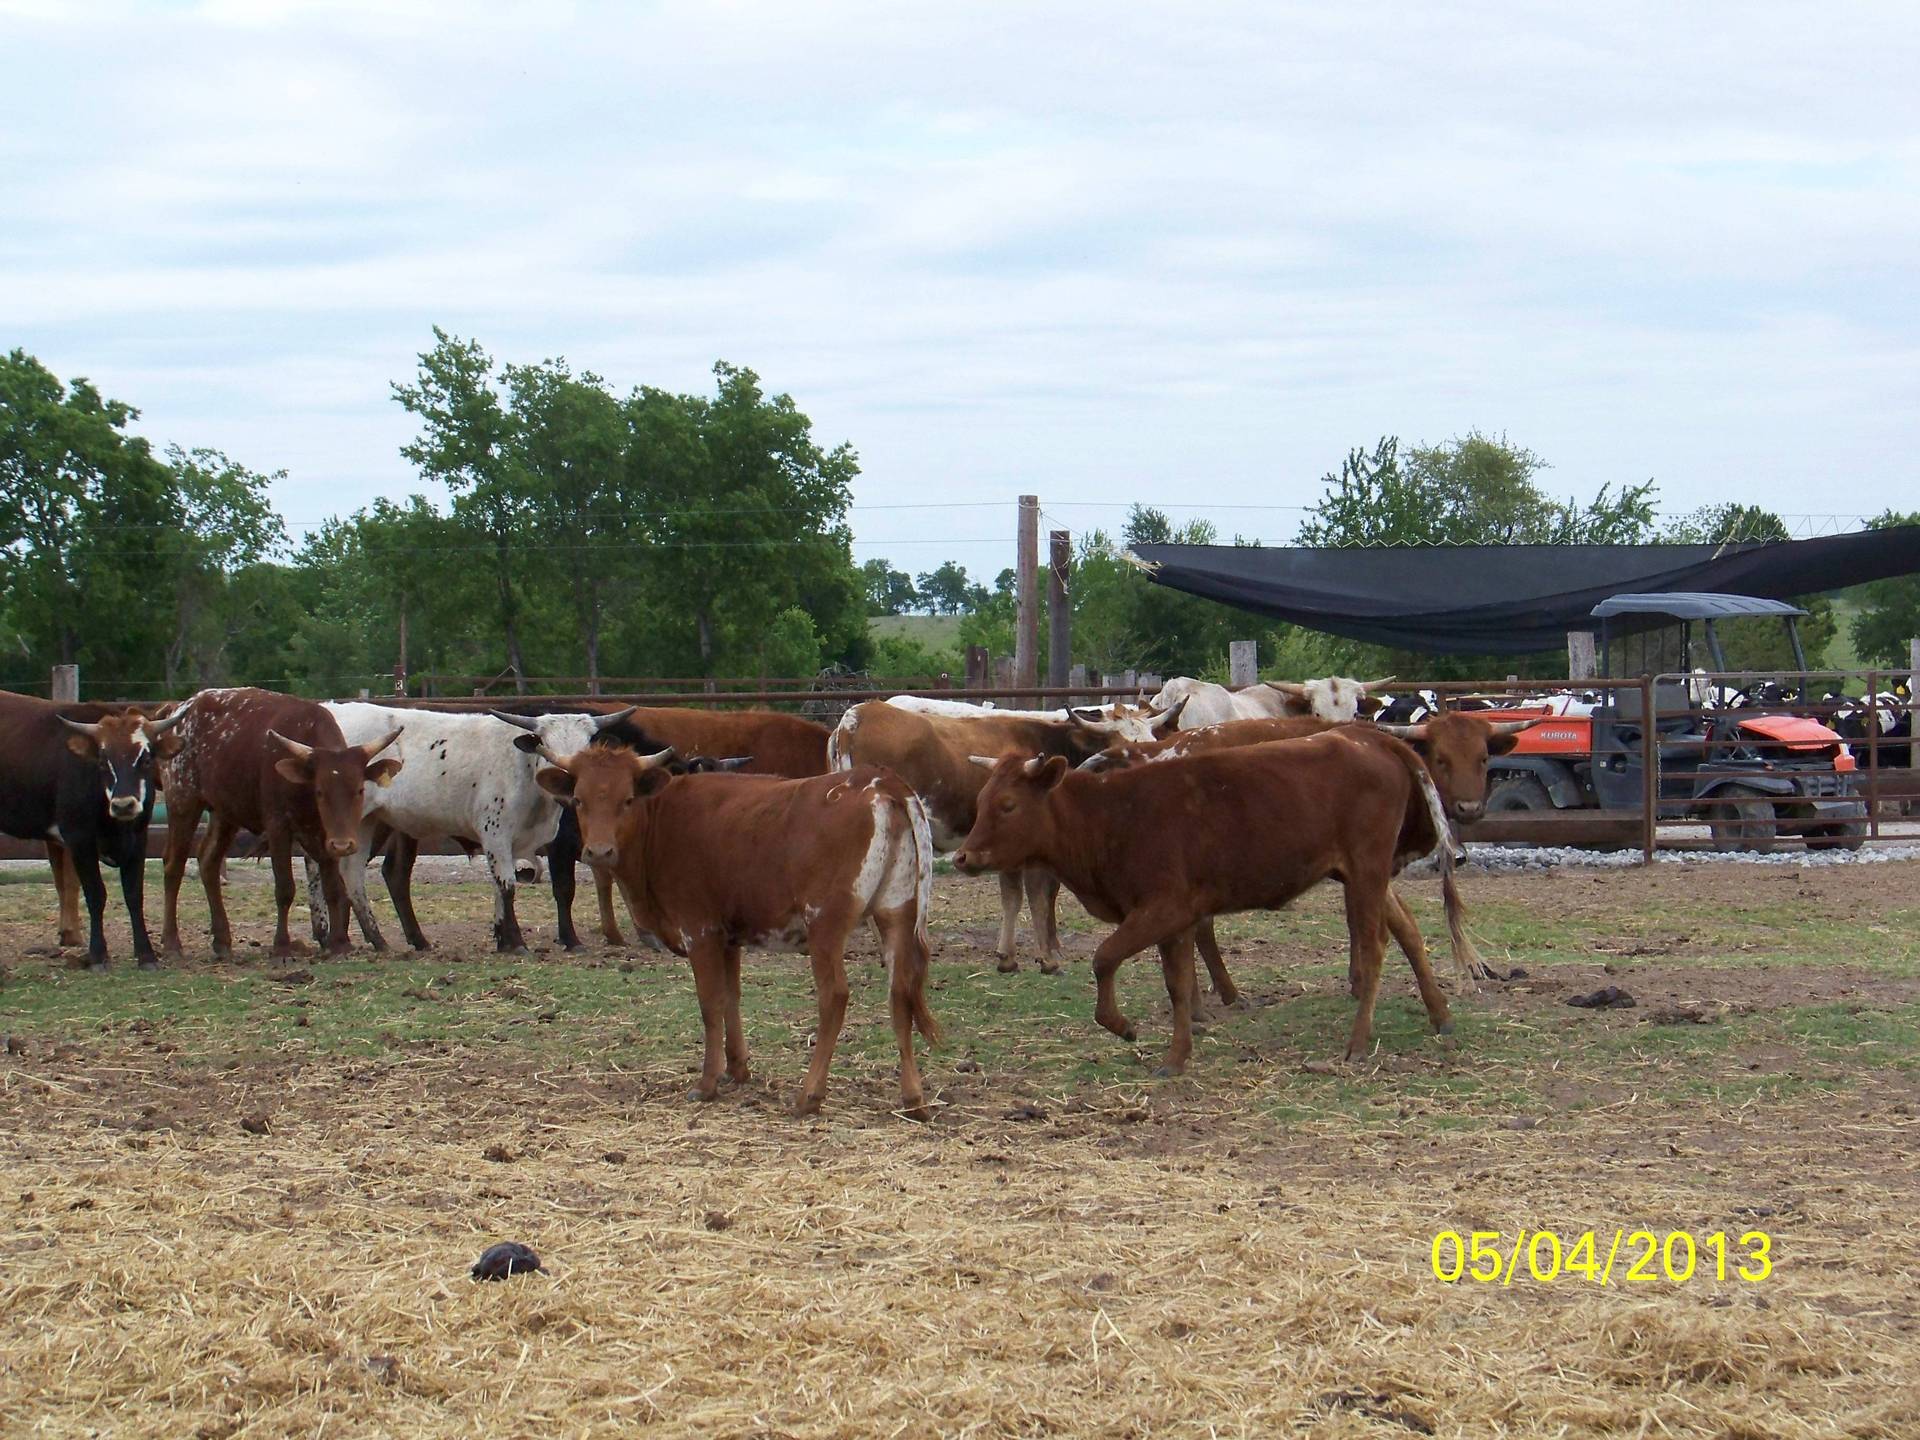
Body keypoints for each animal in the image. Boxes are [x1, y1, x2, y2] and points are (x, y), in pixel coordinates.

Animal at [0, 691, 184, 968]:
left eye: (145, 758)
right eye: (103, 761)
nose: (123, 805)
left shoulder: (138, 839)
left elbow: (134, 894)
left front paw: (146, 955)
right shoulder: (79, 839)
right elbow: (95, 894)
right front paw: (98, 955)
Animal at [157, 688, 403, 960]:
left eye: (359, 789)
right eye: (320, 791)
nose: (344, 845)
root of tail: (183, 707)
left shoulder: (325, 835)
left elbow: (333, 888)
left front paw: (339, 943)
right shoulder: (278, 826)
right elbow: (285, 888)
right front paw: (282, 946)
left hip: (225, 812)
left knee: (209, 861)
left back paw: (222, 941)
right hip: (182, 801)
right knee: (174, 865)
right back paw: (172, 942)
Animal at [531, 744, 939, 1119]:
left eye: (627, 799)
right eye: (579, 799)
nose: (599, 852)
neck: (661, 823)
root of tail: (881, 779)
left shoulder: (699, 929)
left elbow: (710, 1003)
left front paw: (707, 1083)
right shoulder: (728, 936)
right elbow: (732, 996)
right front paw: (737, 1069)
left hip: (825, 922)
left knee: (834, 996)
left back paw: (809, 1095)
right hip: (897, 910)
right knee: (900, 994)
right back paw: (913, 1099)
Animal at [827, 697, 1183, 973]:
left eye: (1152, 740)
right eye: (1120, 747)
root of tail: (856, 716)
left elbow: (1018, 894)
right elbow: (1036, 894)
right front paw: (1044, 957)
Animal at [952, 728, 1476, 1073]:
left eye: (1008, 806)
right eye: (981, 803)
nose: (963, 856)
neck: (1111, 816)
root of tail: (1369, 738)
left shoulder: (1160, 909)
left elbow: (1104, 958)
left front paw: (1123, 1026)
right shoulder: (1177, 919)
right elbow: (1178, 984)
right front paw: (1178, 1055)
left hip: (1366, 872)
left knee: (1374, 947)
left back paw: (1358, 1043)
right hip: (1362, 874)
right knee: (1406, 927)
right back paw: (1442, 1016)